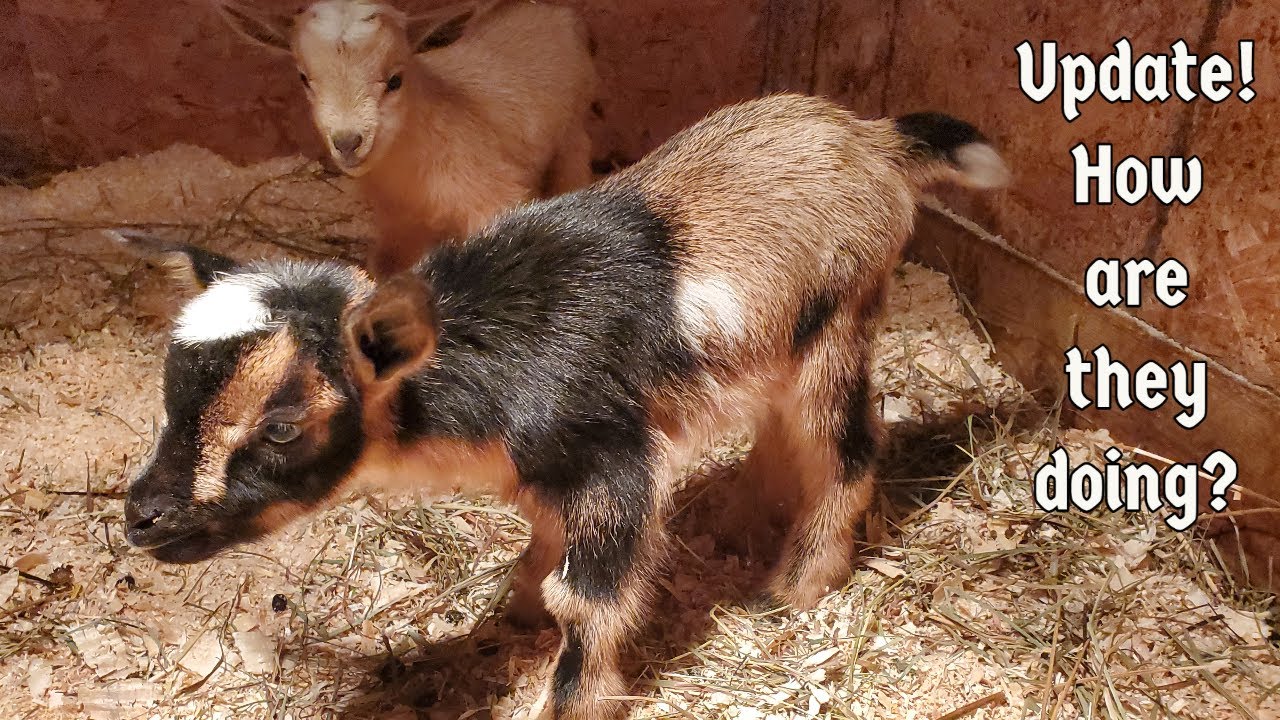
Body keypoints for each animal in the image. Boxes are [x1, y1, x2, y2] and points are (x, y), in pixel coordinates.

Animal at [118, 94, 1009, 720]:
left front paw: (567, 699)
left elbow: (587, 599)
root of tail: (871, 136)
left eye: (282, 427)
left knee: (845, 450)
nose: (143, 518)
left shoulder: (612, 462)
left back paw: (795, 584)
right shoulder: (551, 471)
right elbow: (541, 551)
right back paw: (737, 525)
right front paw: (512, 615)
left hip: (837, 329)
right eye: (166, 396)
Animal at [220, 0, 598, 277]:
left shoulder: (493, 196)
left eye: (395, 80)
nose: (348, 142)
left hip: (573, 135)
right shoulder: (399, 227)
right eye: (303, 78)